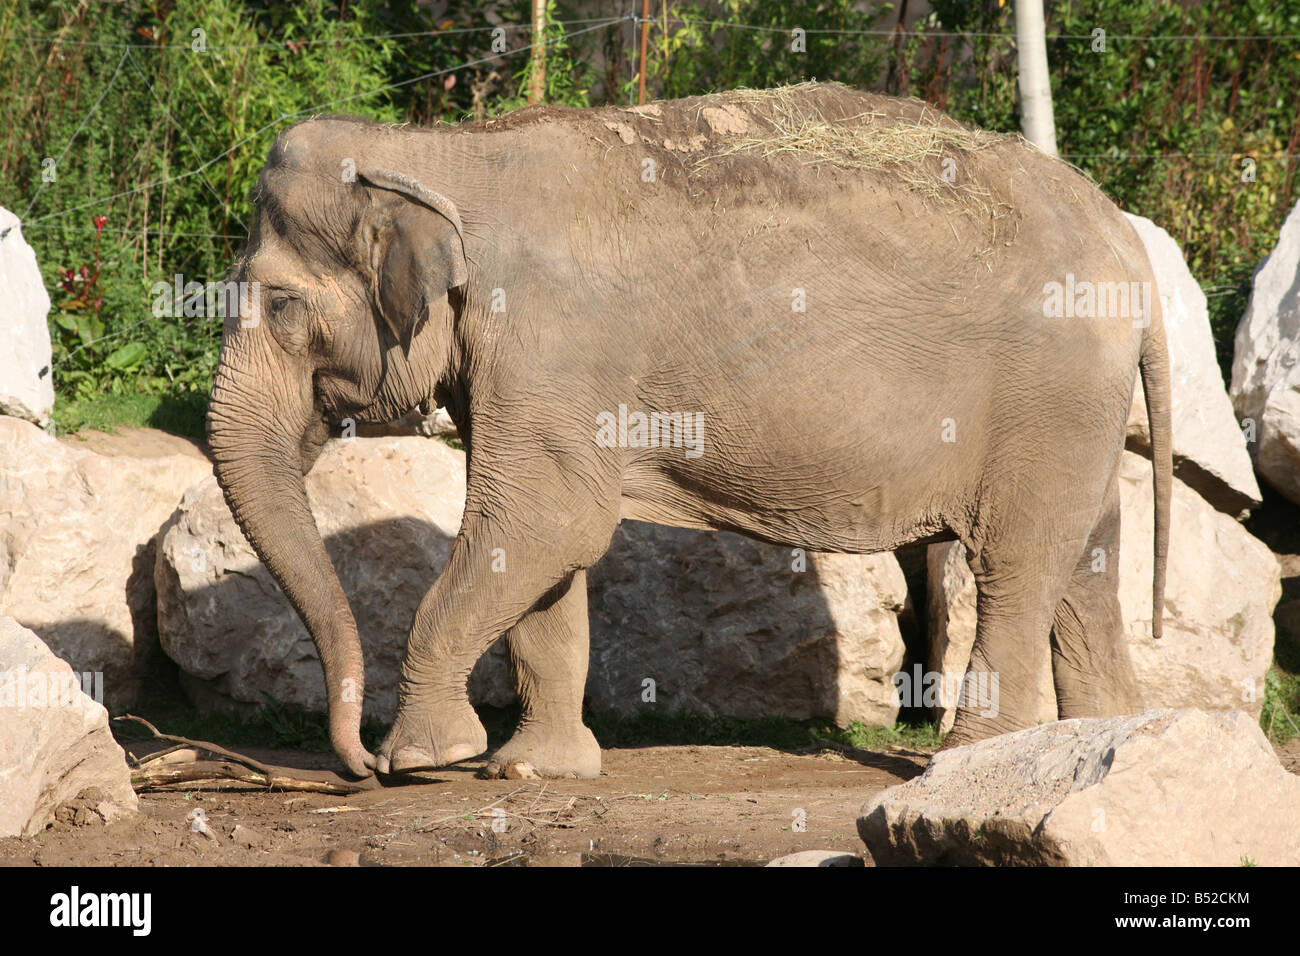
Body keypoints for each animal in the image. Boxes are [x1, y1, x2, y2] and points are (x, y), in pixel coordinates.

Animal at [207, 81, 1171, 779]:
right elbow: (548, 555)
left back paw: (968, 762)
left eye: (282, 306)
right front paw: (534, 771)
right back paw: (1101, 743)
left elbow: (549, 522)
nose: (353, 763)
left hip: (1050, 396)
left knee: (1017, 566)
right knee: (1085, 564)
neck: (437, 149)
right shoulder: (522, 374)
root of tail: (1127, 244)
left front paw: (426, 759)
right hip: (1079, 409)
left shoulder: (550, 344)